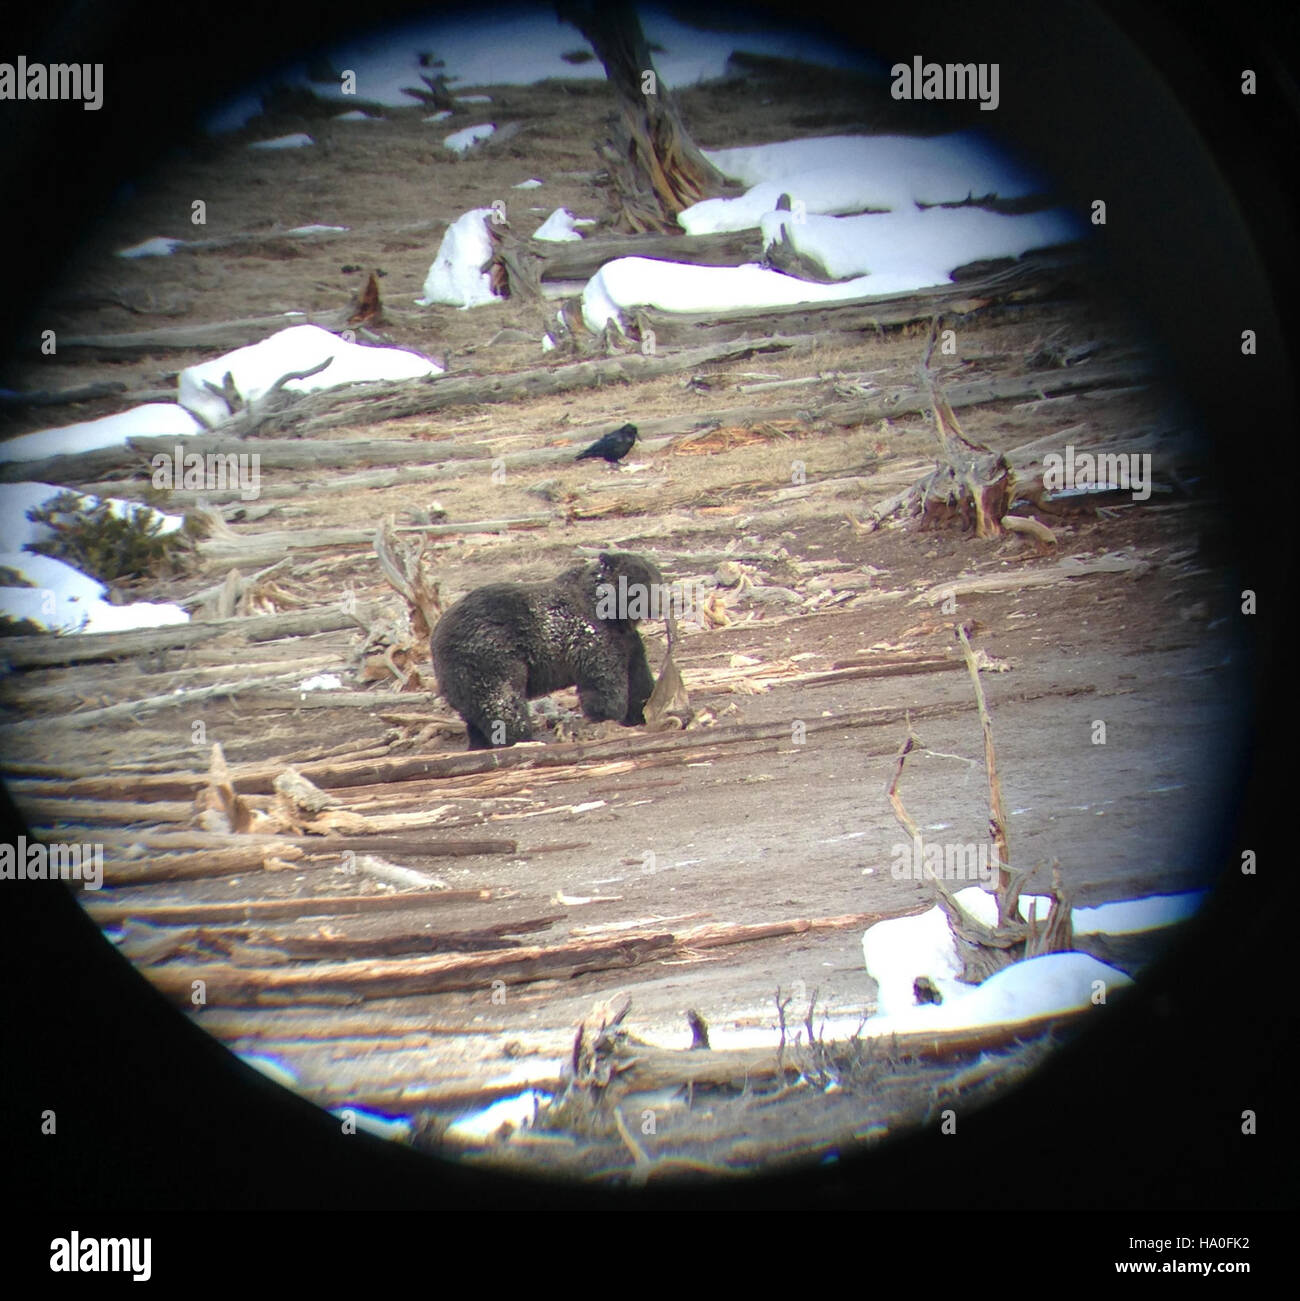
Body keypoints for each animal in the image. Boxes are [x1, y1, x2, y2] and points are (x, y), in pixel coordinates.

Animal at [430, 551, 664, 749]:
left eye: (657, 578)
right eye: (642, 584)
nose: (663, 602)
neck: (614, 615)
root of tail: (436, 635)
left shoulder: (627, 642)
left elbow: (638, 679)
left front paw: (642, 712)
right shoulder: (592, 637)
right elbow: (604, 684)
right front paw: (605, 718)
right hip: (489, 655)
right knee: (503, 702)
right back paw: (521, 739)